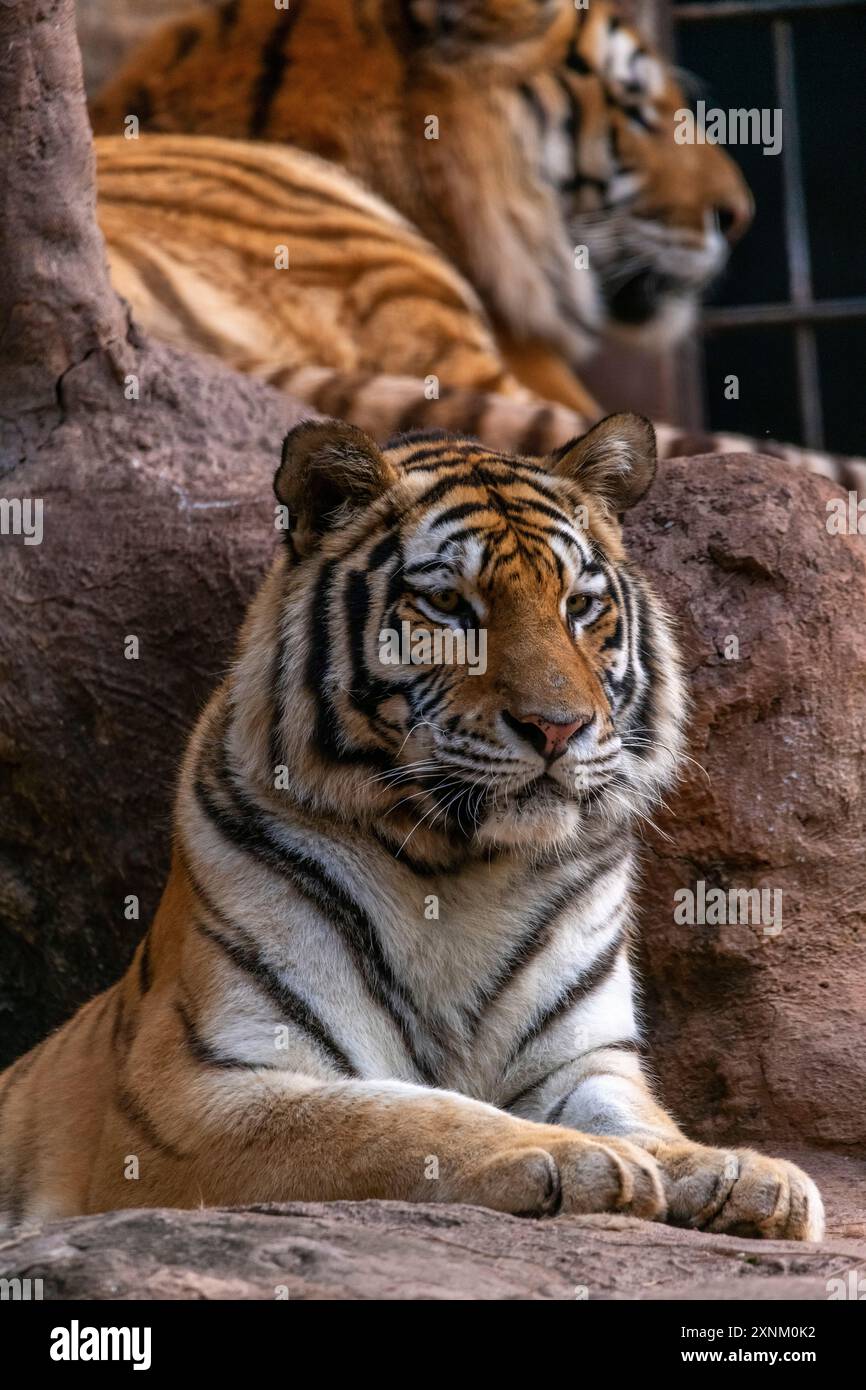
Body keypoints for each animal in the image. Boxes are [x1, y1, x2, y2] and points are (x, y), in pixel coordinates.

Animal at [0, 413, 824, 1239]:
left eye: (580, 606)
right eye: (450, 605)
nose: (558, 729)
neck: (461, 869)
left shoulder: (584, 1059)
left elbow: (644, 1120)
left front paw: (745, 1174)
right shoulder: (192, 1091)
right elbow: (400, 1117)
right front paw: (580, 1157)